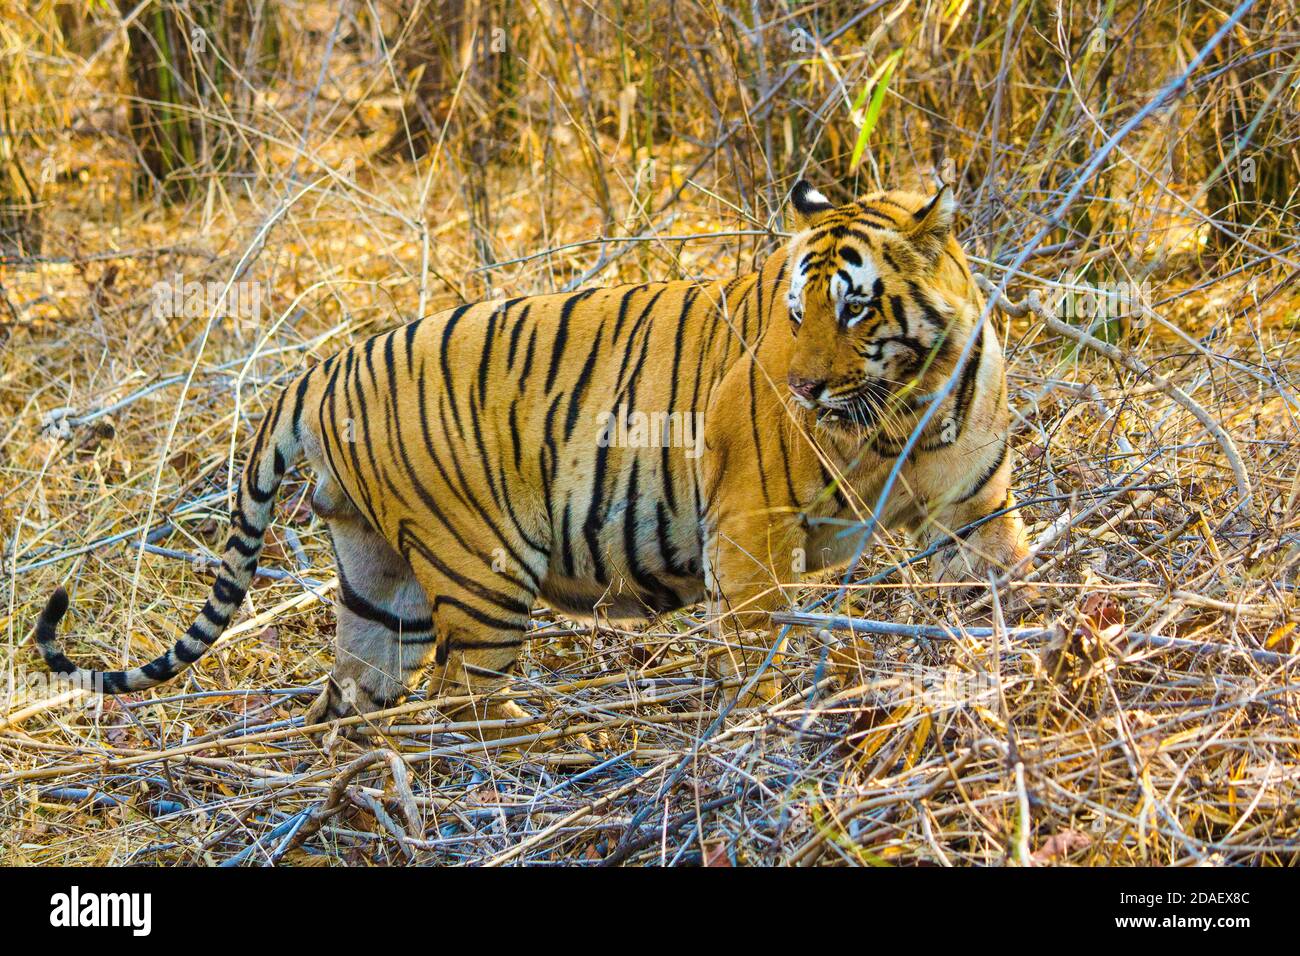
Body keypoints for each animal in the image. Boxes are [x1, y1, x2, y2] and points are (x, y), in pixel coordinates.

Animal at [33, 180, 1028, 733]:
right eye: (796, 310)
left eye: (853, 308)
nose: (803, 388)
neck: (907, 404)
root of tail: (320, 368)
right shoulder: (752, 529)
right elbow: (759, 646)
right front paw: (767, 720)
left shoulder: (975, 504)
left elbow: (1005, 583)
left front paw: (1027, 654)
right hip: (486, 568)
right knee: (465, 695)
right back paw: (547, 742)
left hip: (377, 577)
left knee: (353, 688)